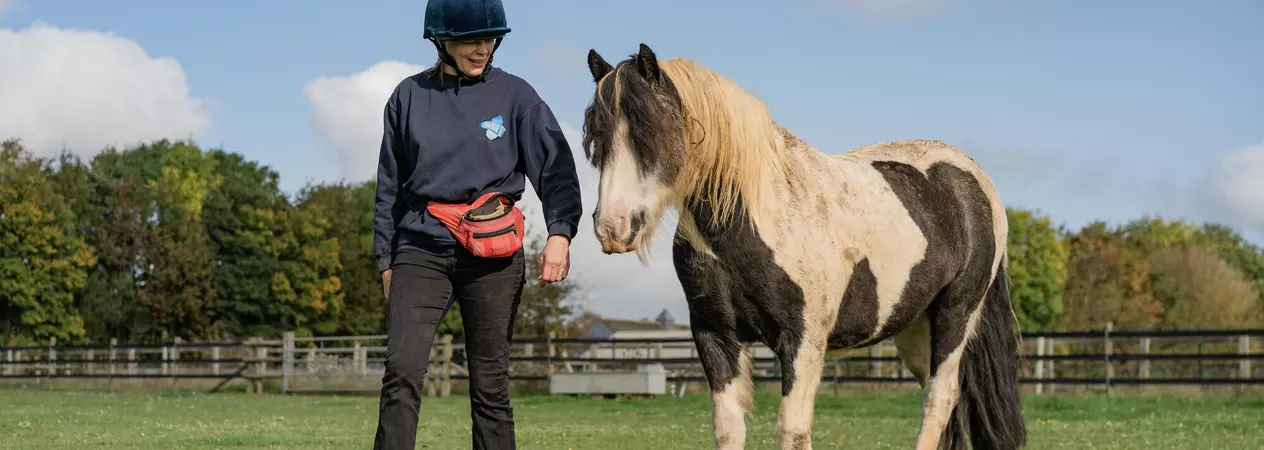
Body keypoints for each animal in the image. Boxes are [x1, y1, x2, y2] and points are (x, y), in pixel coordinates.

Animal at [579, 43, 1027, 450]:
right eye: (597, 139)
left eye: (648, 131)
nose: (611, 227)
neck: (754, 219)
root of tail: (972, 176)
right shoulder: (714, 336)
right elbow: (728, 430)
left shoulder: (802, 341)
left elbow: (792, 432)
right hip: (916, 329)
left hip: (955, 316)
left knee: (939, 399)